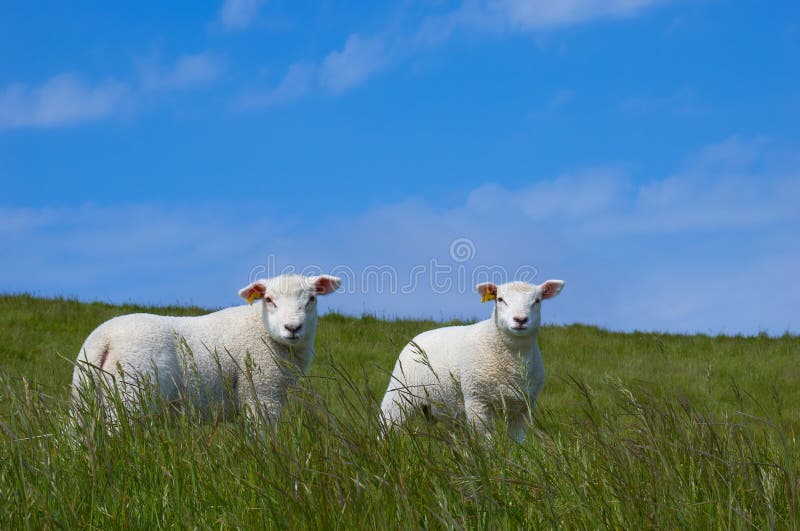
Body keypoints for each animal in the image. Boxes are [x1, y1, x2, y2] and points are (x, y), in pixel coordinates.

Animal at [71, 274, 340, 427]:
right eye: (269, 300)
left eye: (312, 299)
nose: (292, 327)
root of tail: (105, 338)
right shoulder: (262, 394)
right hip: (130, 393)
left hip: (83, 393)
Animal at [379, 279, 564, 441]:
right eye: (500, 299)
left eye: (537, 301)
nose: (520, 320)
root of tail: (417, 337)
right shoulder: (477, 401)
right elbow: (486, 442)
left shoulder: (523, 408)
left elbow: (516, 441)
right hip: (400, 393)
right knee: (387, 423)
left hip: (448, 407)